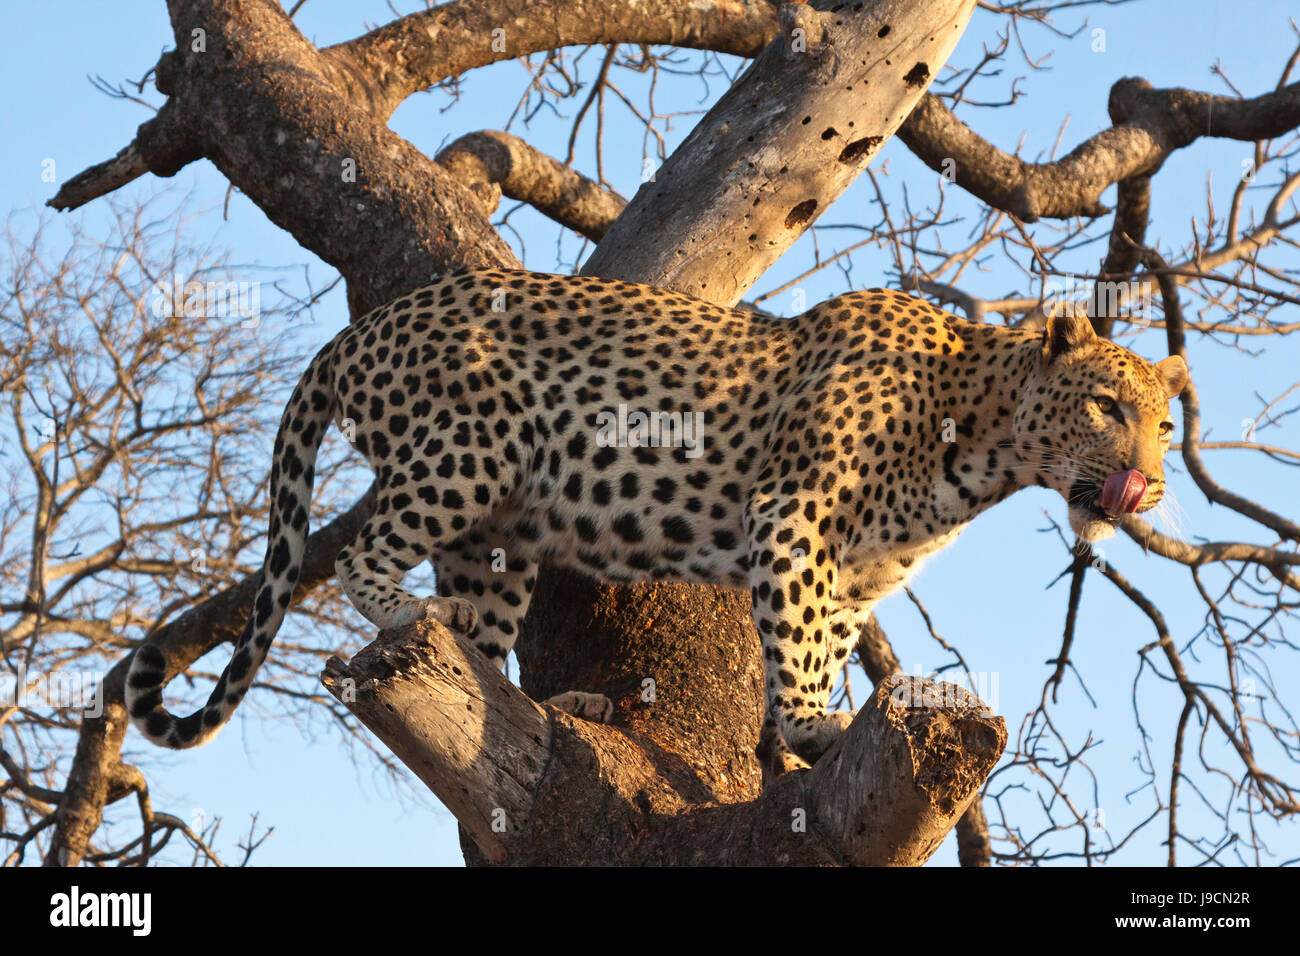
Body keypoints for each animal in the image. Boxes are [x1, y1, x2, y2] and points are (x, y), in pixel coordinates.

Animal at [125, 268, 1188, 761]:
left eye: (1166, 423)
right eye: (1106, 407)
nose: (1144, 481)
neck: (982, 442)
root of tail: (354, 333)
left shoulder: (859, 576)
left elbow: (823, 639)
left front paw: (791, 743)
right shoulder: (793, 517)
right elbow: (793, 642)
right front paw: (811, 729)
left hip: (500, 527)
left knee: (483, 619)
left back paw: (542, 693)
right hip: (475, 445)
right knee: (366, 553)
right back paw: (412, 616)